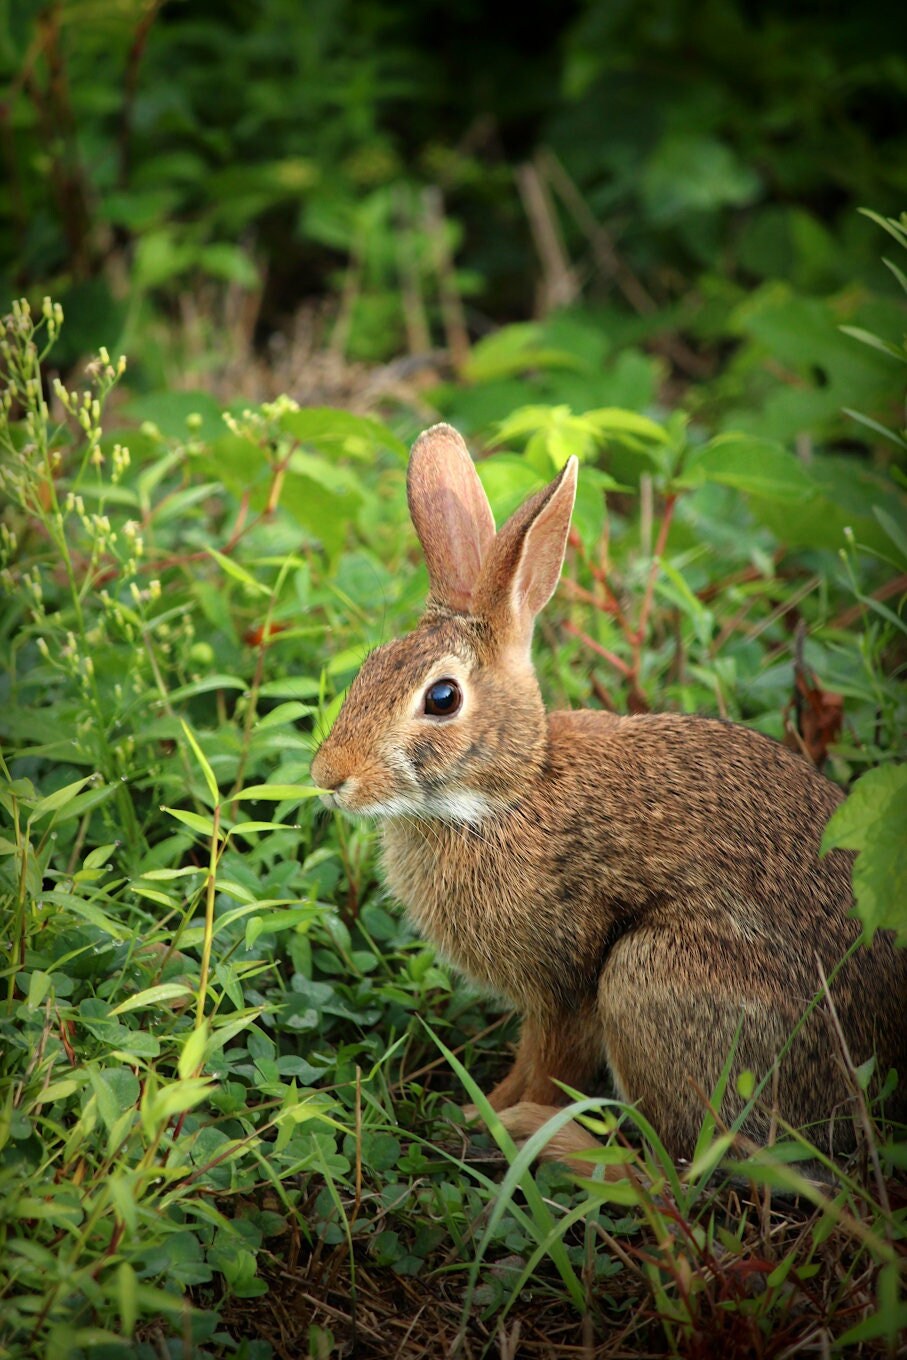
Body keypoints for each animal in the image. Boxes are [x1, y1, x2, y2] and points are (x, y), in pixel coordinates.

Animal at [311, 422, 907, 1170]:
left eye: (441, 698)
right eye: (368, 666)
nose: (328, 776)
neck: (509, 793)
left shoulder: (564, 986)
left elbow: (546, 1065)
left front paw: (490, 1112)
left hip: (647, 979)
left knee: (683, 1162)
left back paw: (543, 1138)